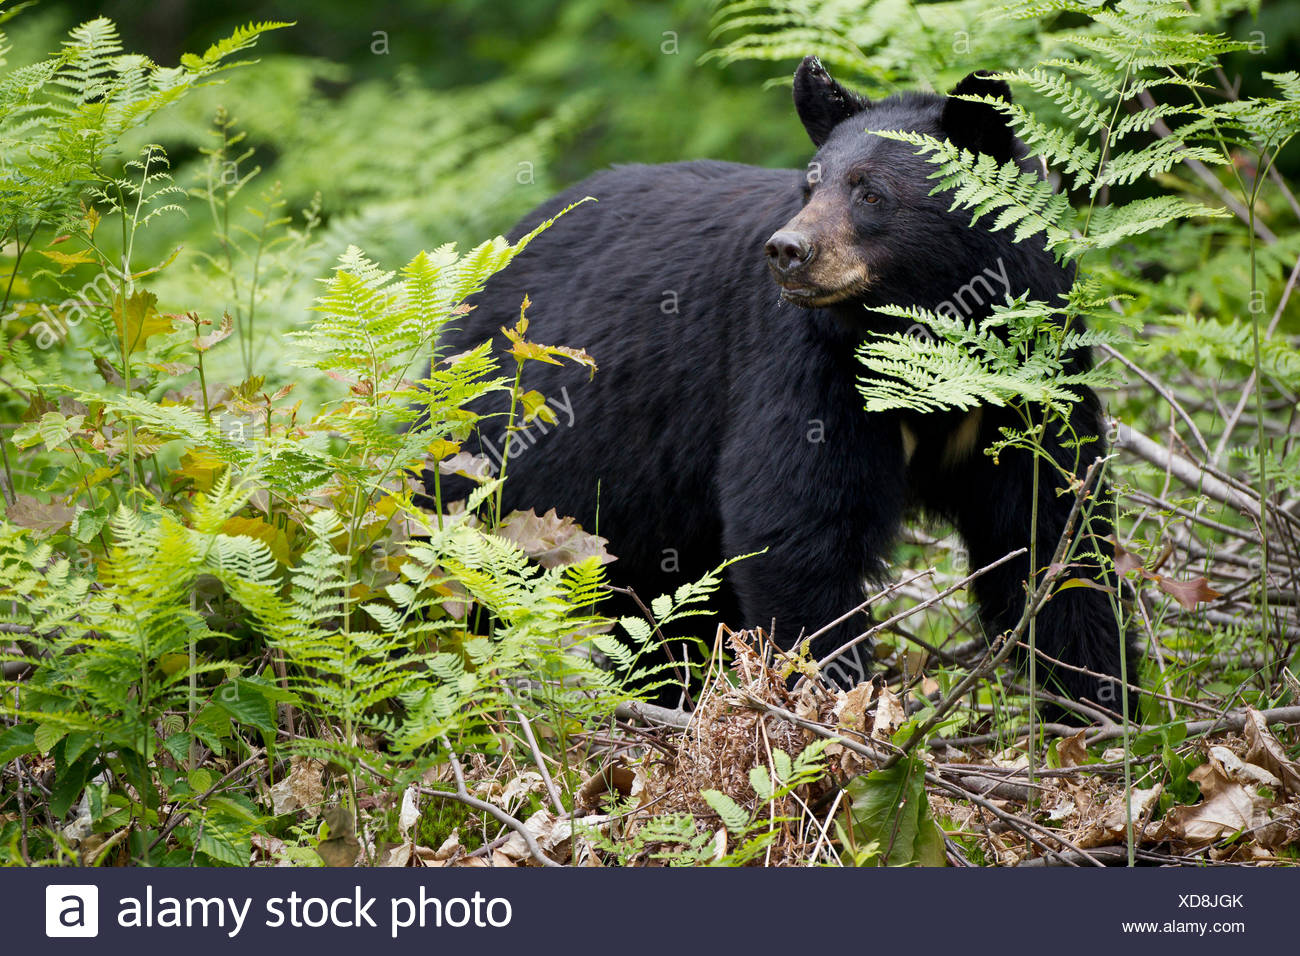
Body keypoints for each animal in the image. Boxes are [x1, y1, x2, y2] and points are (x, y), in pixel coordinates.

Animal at [427, 56, 1136, 714]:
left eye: (871, 193)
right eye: (810, 185)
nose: (788, 251)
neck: (928, 339)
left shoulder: (1026, 376)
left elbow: (1052, 527)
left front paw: (1100, 702)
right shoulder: (807, 363)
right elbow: (796, 524)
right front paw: (828, 705)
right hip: (501, 437)